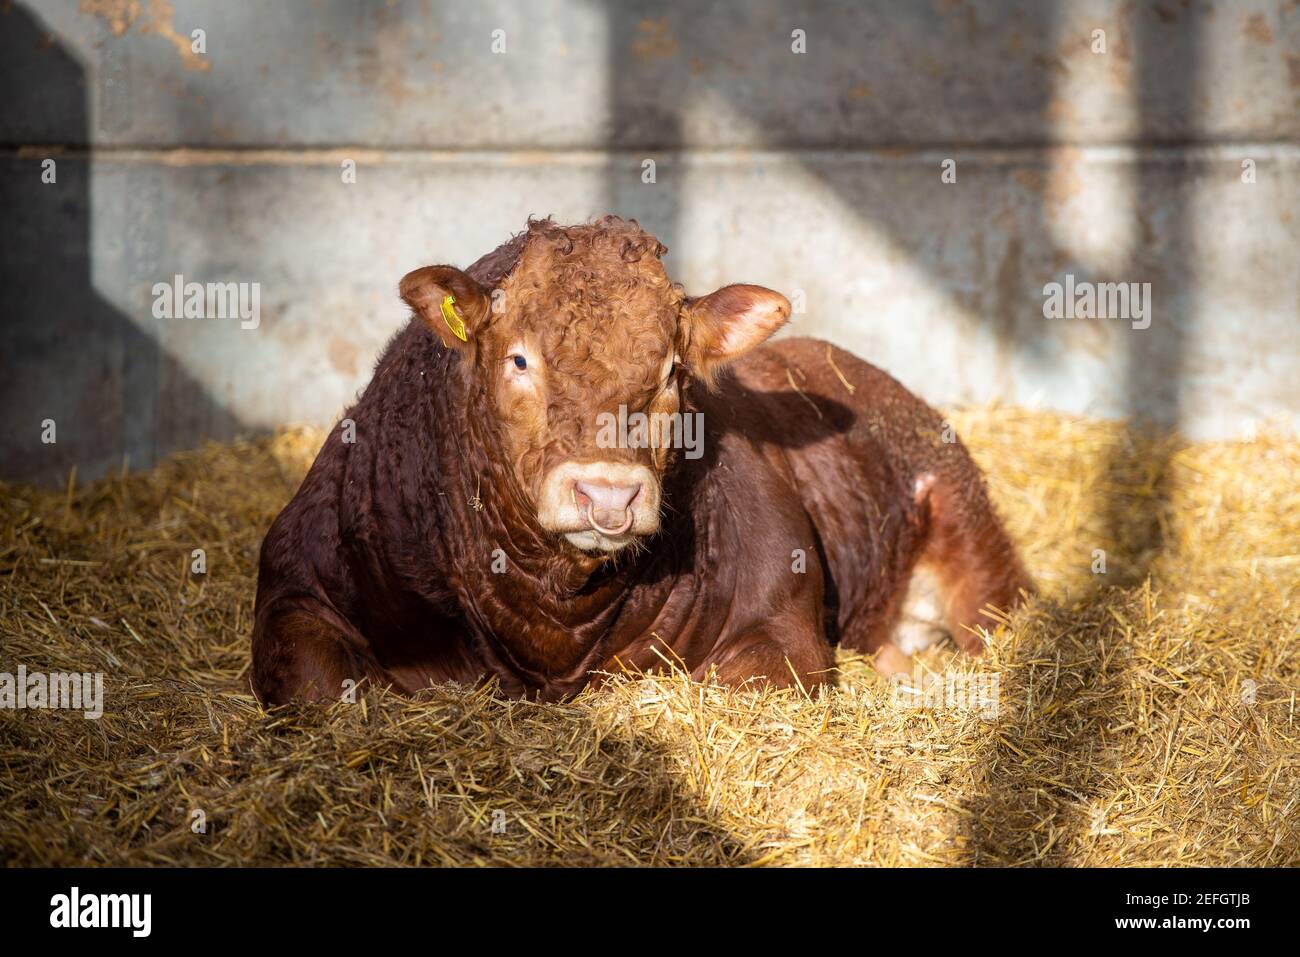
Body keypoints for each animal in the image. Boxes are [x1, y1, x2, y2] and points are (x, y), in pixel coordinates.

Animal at [251, 217, 1031, 705]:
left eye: (668, 372)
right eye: (518, 358)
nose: (606, 494)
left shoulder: (784, 623)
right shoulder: (297, 578)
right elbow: (323, 685)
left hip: (973, 540)